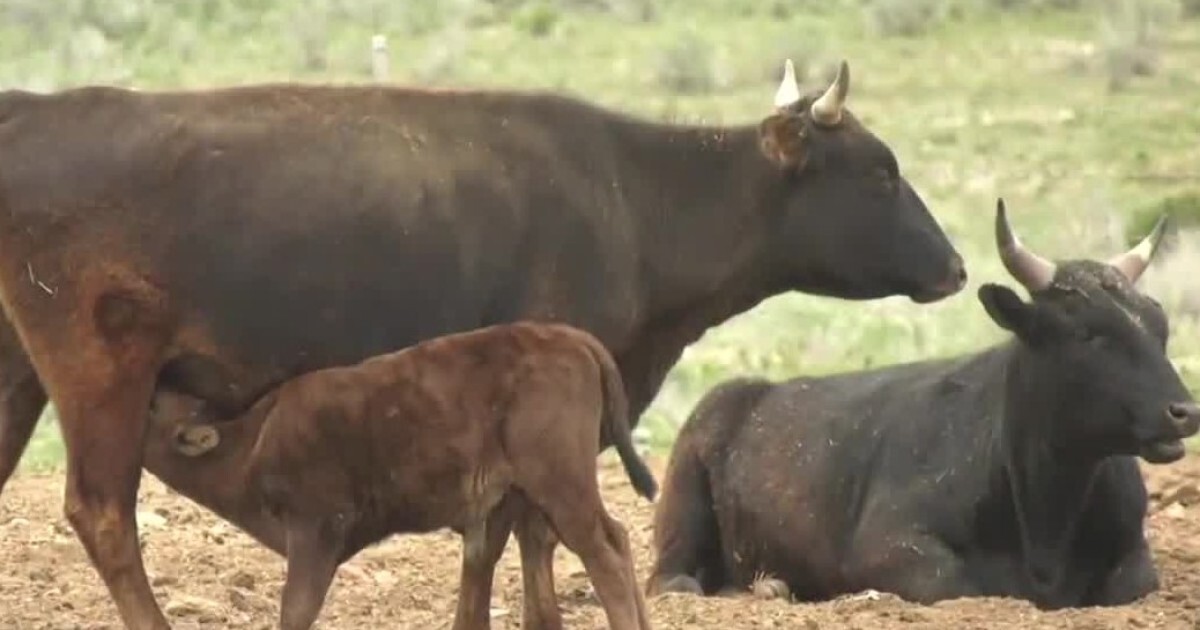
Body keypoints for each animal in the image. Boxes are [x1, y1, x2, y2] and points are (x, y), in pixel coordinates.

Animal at [140, 321, 656, 630]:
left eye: (152, 405)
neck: (253, 440)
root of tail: (567, 336)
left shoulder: (316, 531)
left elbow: (295, 609)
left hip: (562, 487)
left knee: (603, 554)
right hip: (548, 492)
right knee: (617, 536)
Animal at [645, 199, 1200, 609]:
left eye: (1160, 328)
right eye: (1088, 334)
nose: (1184, 412)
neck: (1047, 516)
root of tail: (751, 390)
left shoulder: (1134, 555)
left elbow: (1132, 582)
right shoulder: (892, 546)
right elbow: (956, 583)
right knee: (674, 581)